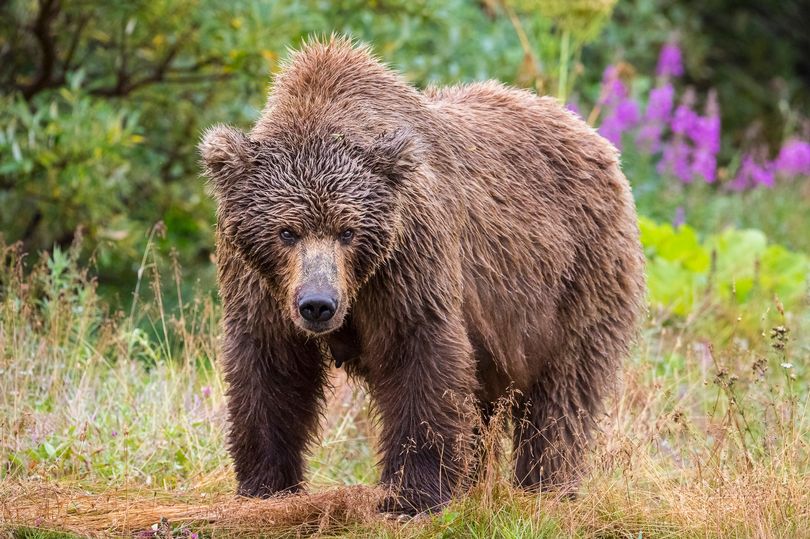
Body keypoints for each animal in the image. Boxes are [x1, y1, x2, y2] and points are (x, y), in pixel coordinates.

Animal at [199, 36, 645, 515]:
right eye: (286, 231)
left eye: (347, 231)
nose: (318, 304)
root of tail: (595, 139)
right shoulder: (261, 283)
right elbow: (270, 369)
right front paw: (264, 486)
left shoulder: (408, 258)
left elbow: (419, 353)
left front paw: (411, 495)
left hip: (577, 274)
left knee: (563, 391)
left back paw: (546, 487)